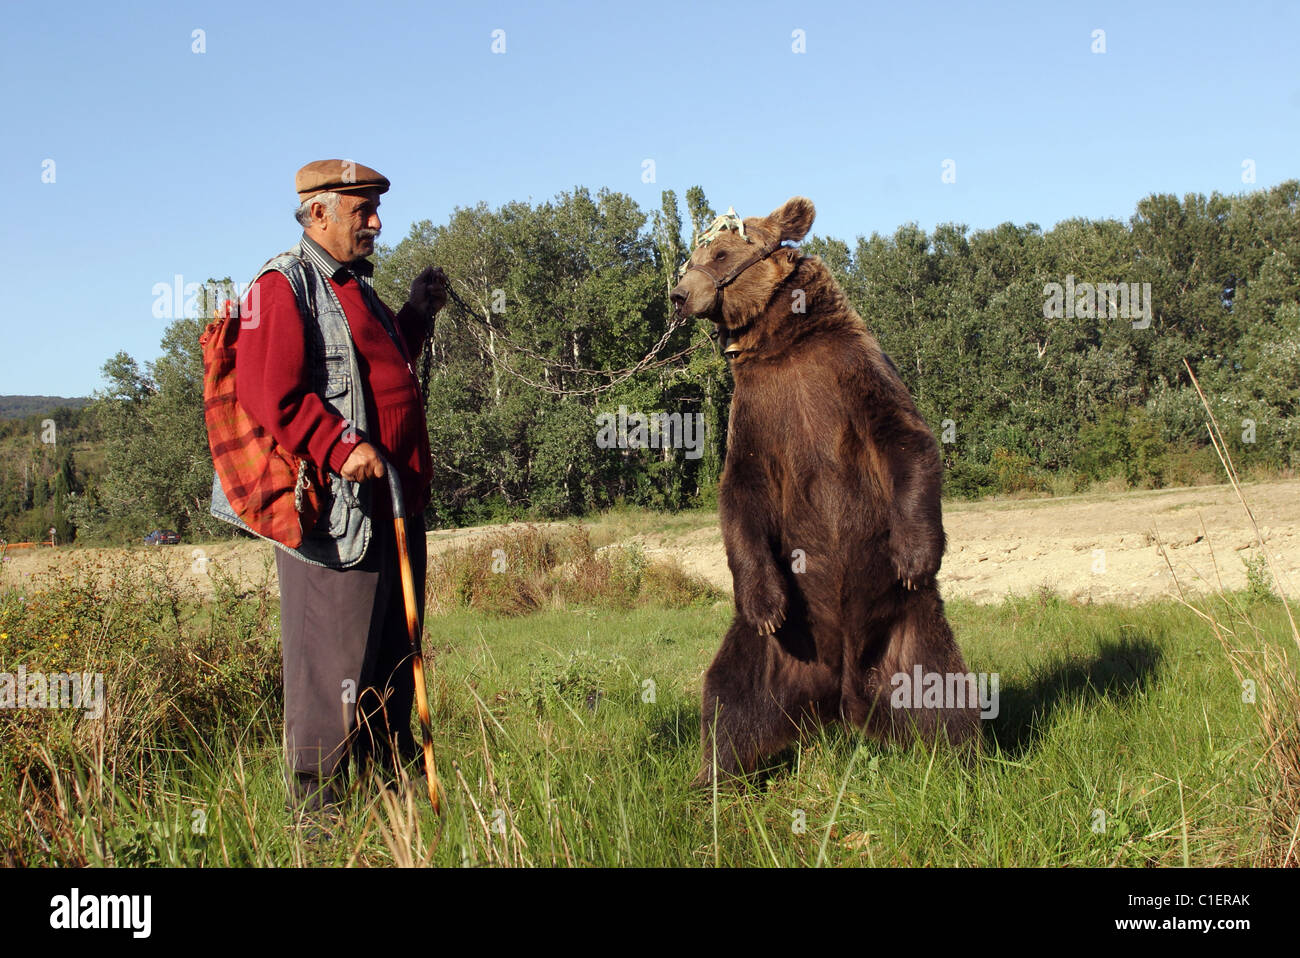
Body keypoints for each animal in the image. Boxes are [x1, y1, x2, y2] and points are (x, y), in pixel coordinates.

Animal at [668, 197, 981, 784]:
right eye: (690, 257)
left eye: (719, 252)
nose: (678, 294)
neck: (783, 345)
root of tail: (841, 692)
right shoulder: (757, 411)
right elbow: (741, 493)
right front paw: (765, 605)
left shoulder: (850, 371)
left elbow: (905, 436)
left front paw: (915, 554)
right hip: (782, 646)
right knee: (730, 696)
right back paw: (714, 776)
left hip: (911, 624)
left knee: (943, 692)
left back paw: (962, 763)